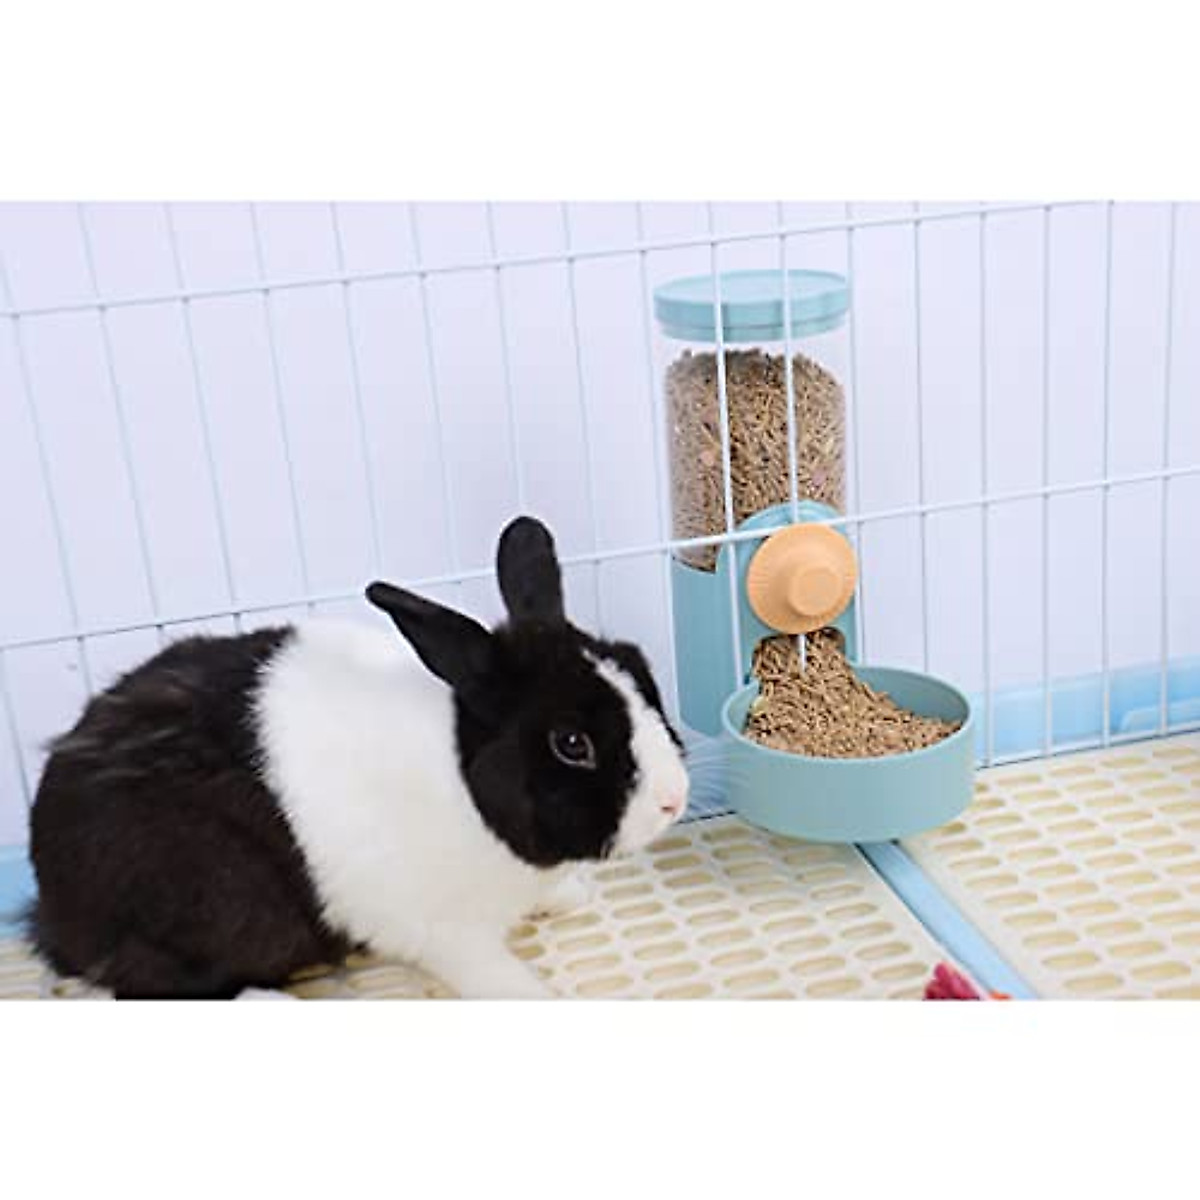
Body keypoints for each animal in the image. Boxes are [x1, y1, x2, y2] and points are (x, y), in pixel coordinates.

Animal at [27, 516, 690, 1000]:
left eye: (639, 665)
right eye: (571, 744)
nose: (674, 798)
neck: (464, 778)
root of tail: (54, 912)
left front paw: (569, 897)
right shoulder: (445, 931)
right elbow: (486, 972)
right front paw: (536, 998)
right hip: (212, 904)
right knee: (155, 985)